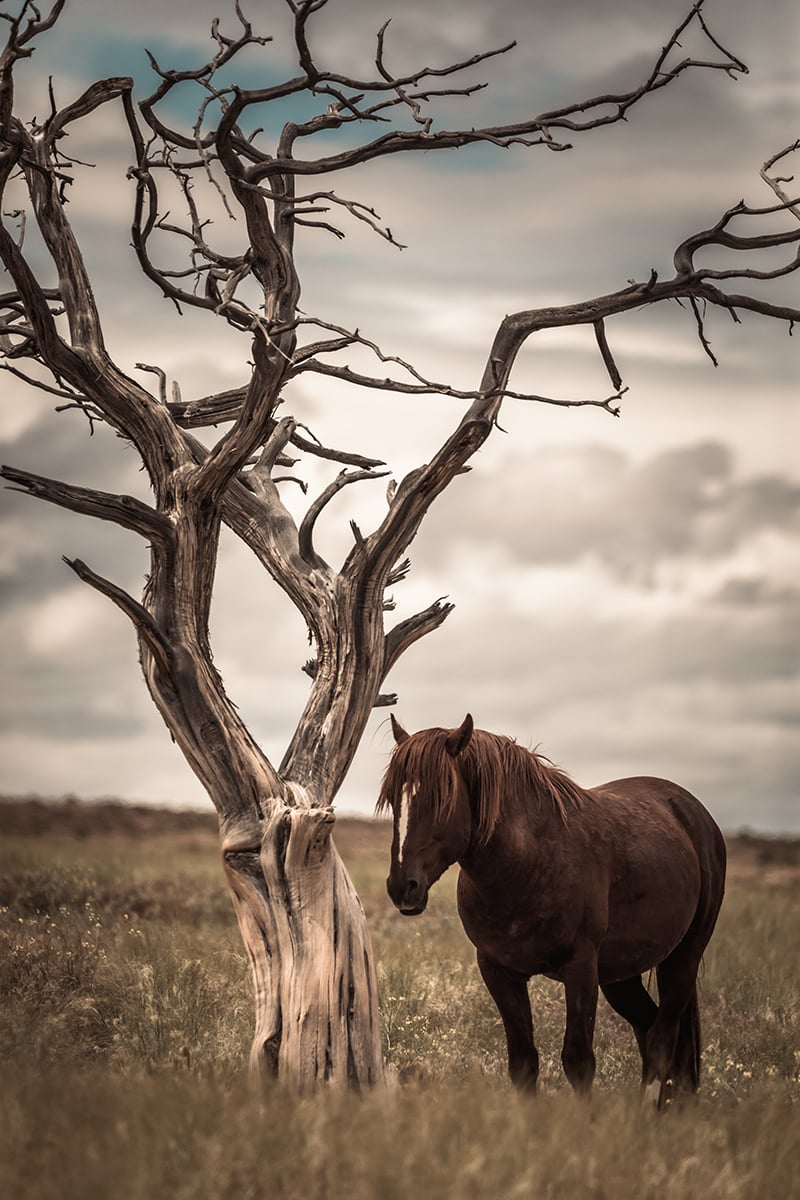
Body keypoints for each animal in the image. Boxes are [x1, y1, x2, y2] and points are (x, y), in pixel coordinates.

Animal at [377, 713, 726, 1106]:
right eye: (393, 799)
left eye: (440, 798)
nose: (402, 887)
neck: (527, 862)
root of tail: (692, 812)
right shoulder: (498, 970)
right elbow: (523, 1062)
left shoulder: (581, 968)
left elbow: (578, 1060)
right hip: (622, 974)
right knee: (648, 1027)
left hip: (683, 957)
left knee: (663, 1038)